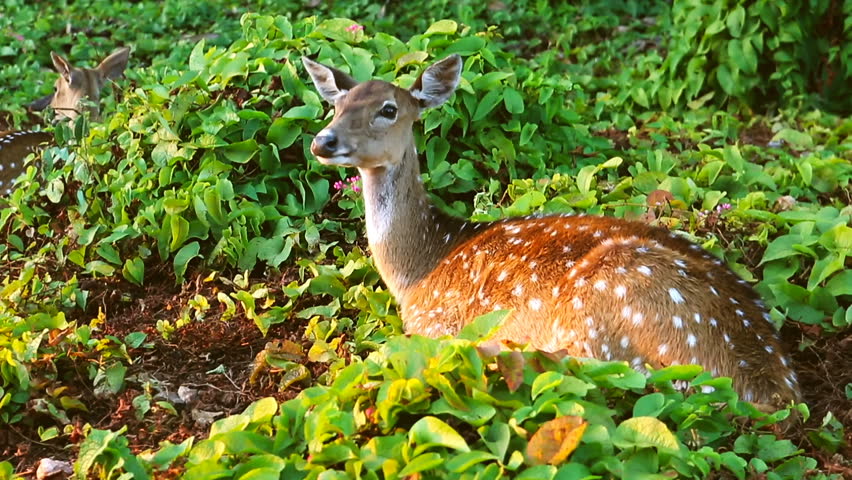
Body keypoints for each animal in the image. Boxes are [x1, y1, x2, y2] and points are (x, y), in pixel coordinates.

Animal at [302, 54, 801, 410]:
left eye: (389, 109)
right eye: (336, 105)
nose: (323, 141)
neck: (418, 269)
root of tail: (774, 393)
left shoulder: (434, 322)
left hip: (609, 311)